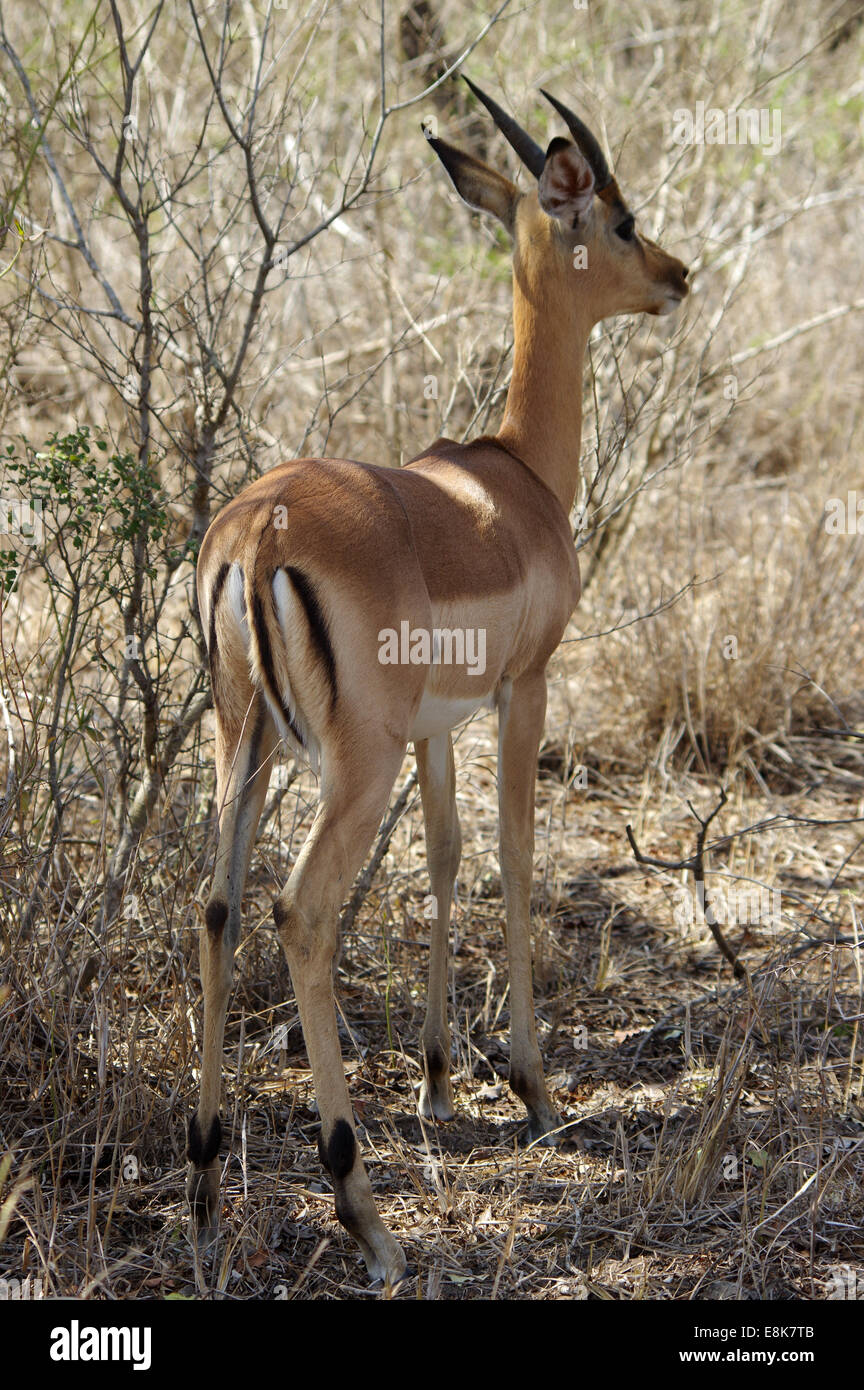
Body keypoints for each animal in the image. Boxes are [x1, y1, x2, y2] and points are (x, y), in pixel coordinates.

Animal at [187, 78, 689, 1284]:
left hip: (245, 742)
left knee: (218, 906)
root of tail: (259, 531)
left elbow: (450, 855)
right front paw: (533, 1088)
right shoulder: (524, 691)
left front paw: (438, 1076)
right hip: (348, 770)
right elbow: (514, 855)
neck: (516, 483)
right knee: (300, 910)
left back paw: (206, 1190)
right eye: (622, 220)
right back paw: (363, 1213)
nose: (679, 276)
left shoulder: (436, 727)